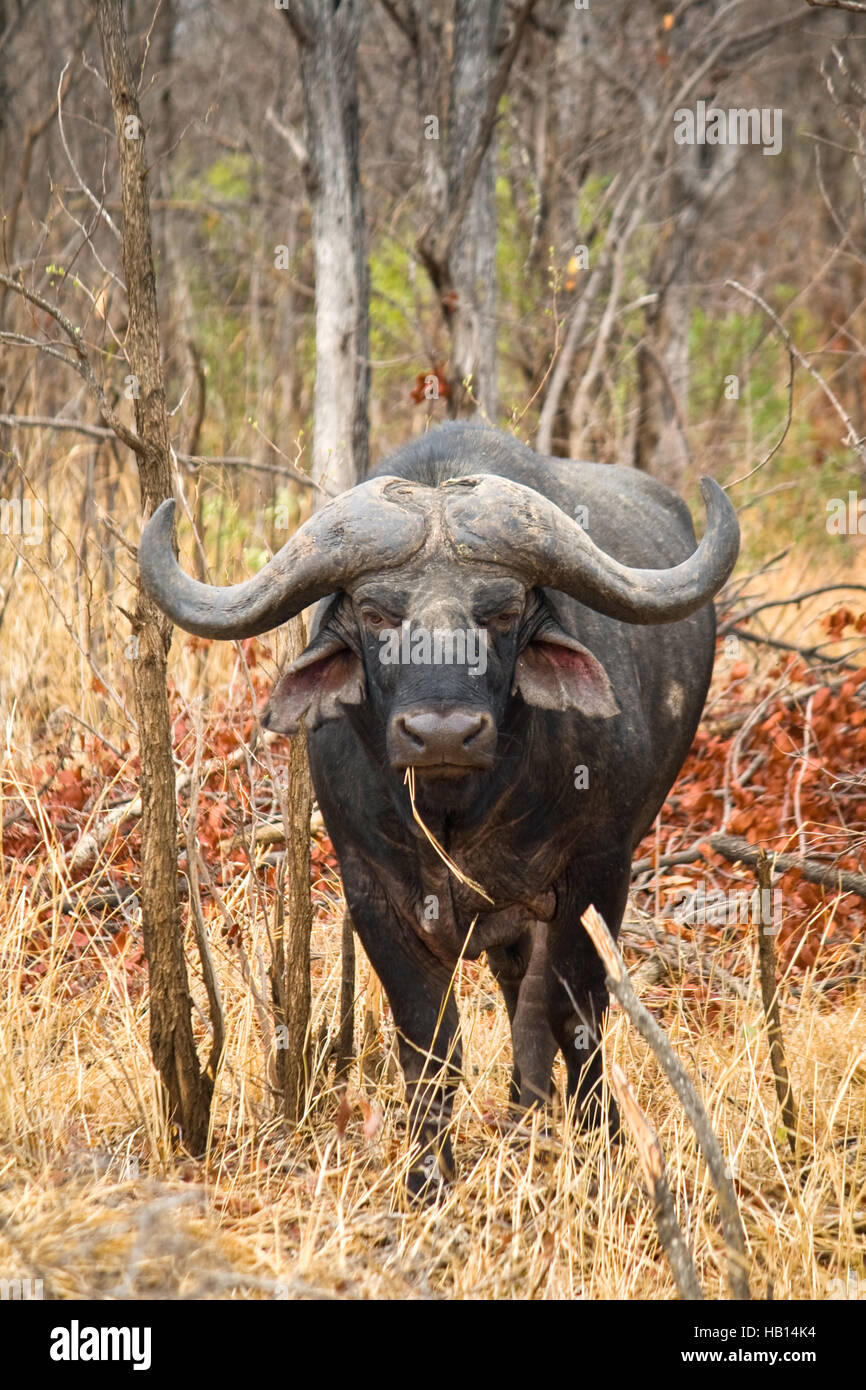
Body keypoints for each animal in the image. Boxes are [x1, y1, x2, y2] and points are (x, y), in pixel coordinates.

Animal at [140, 422, 739, 1194]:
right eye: (375, 613)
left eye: (503, 613)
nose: (444, 732)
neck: (459, 810)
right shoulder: (373, 893)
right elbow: (429, 1041)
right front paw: (430, 1178)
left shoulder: (598, 874)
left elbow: (577, 1013)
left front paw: (602, 1137)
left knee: (537, 1000)